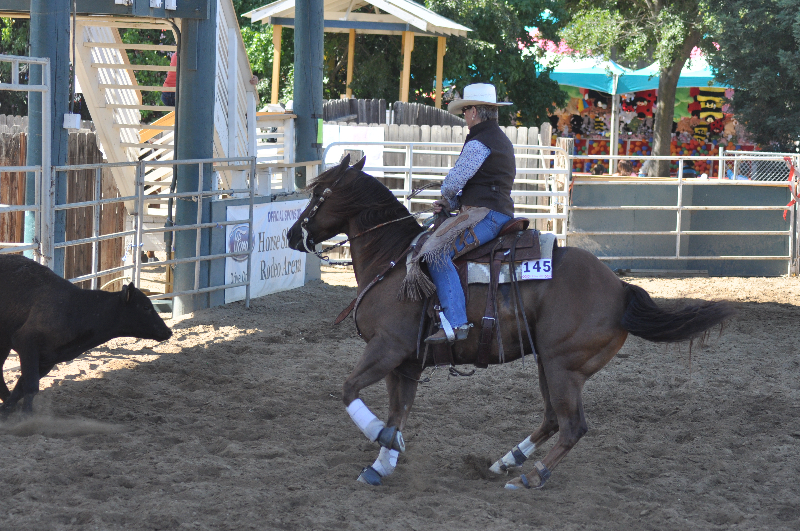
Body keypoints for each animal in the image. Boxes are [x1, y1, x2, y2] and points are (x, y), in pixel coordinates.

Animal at [286, 155, 735, 490]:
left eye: (320, 193)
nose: (292, 235)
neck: (394, 262)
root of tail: (621, 289)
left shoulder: (387, 349)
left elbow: (350, 390)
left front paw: (380, 437)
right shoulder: (406, 363)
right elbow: (399, 411)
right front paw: (383, 462)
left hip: (562, 366)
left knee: (572, 426)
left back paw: (530, 477)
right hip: (547, 363)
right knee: (552, 420)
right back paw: (504, 462)